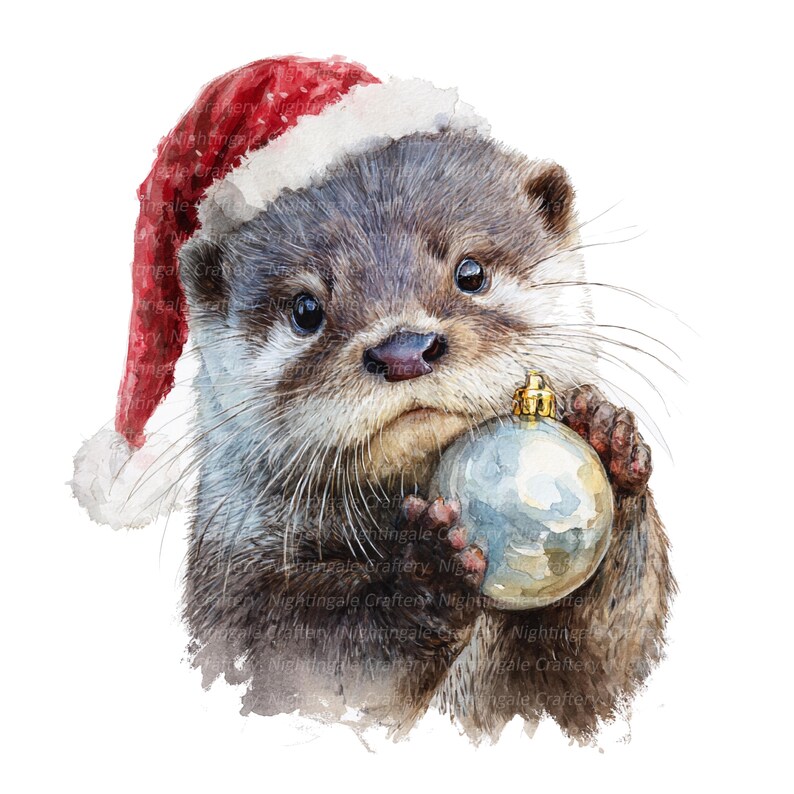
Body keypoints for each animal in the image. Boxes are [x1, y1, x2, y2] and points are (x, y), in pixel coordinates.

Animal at [177, 129, 675, 742]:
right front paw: (427, 575)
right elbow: (312, 662)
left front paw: (607, 439)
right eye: (306, 309)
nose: (403, 351)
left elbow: (600, 666)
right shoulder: (234, 598)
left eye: (470, 272)